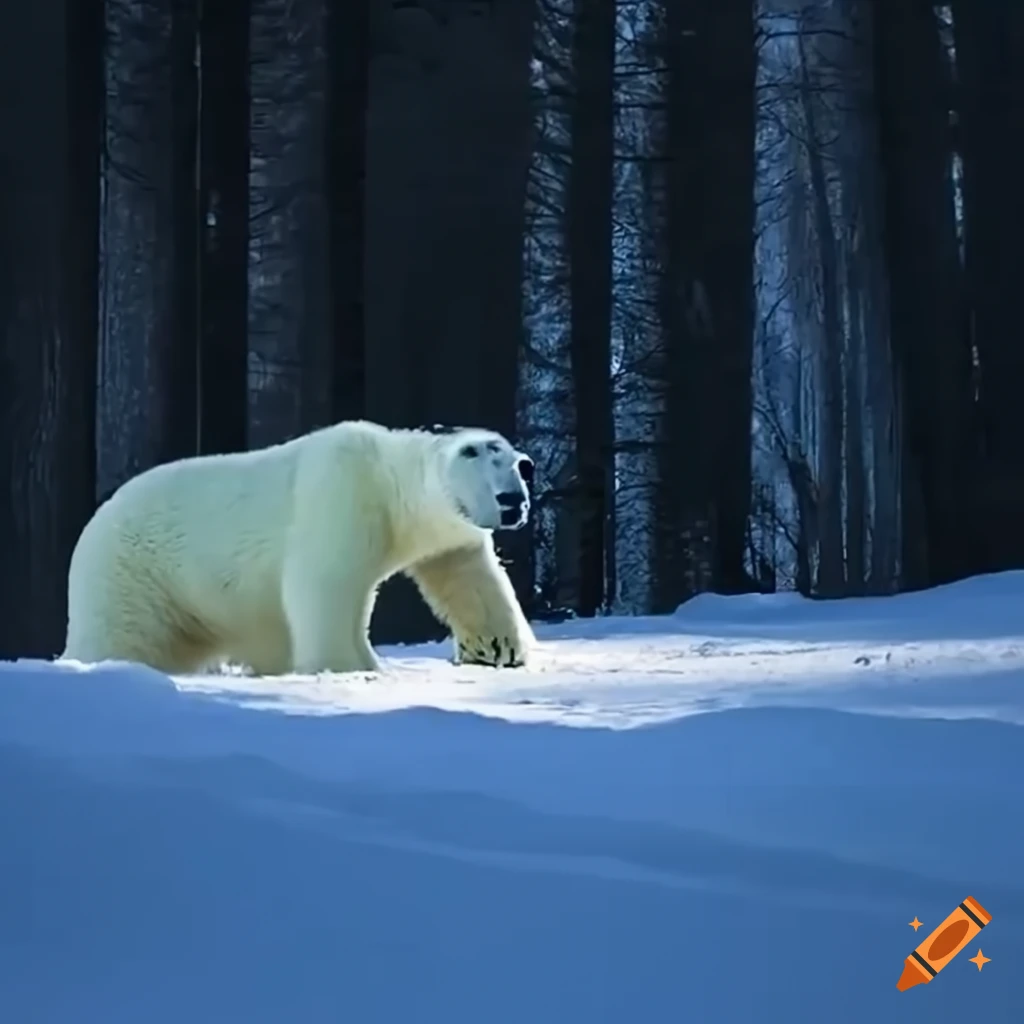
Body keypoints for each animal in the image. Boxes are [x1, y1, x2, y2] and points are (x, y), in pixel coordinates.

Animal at [61, 419, 536, 676]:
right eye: (473, 453)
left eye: (518, 465)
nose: (513, 502)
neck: (388, 479)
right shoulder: (340, 495)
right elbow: (325, 584)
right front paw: (349, 665)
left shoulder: (446, 538)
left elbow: (471, 579)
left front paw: (501, 652)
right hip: (135, 574)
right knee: (120, 633)